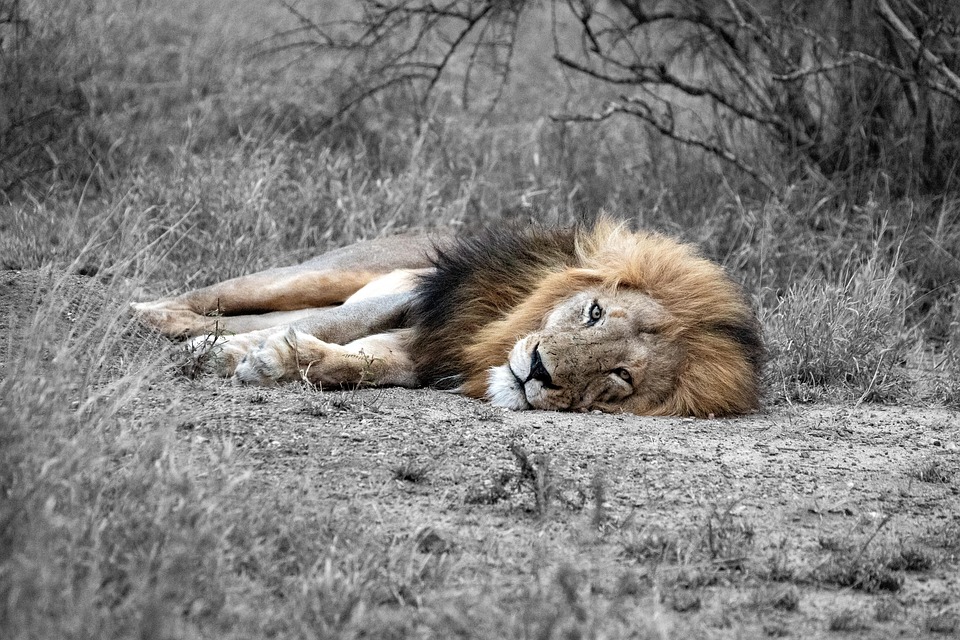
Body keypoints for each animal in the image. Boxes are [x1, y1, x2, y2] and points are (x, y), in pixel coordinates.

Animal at [133, 218, 763, 417]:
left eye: (620, 377)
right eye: (593, 312)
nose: (537, 370)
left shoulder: (426, 352)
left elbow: (358, 361)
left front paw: (281, 359)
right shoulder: (419, 298)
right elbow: (334, 327)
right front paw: (221, 353)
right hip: (331, 272)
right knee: (223, 297)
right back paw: (153, 314)